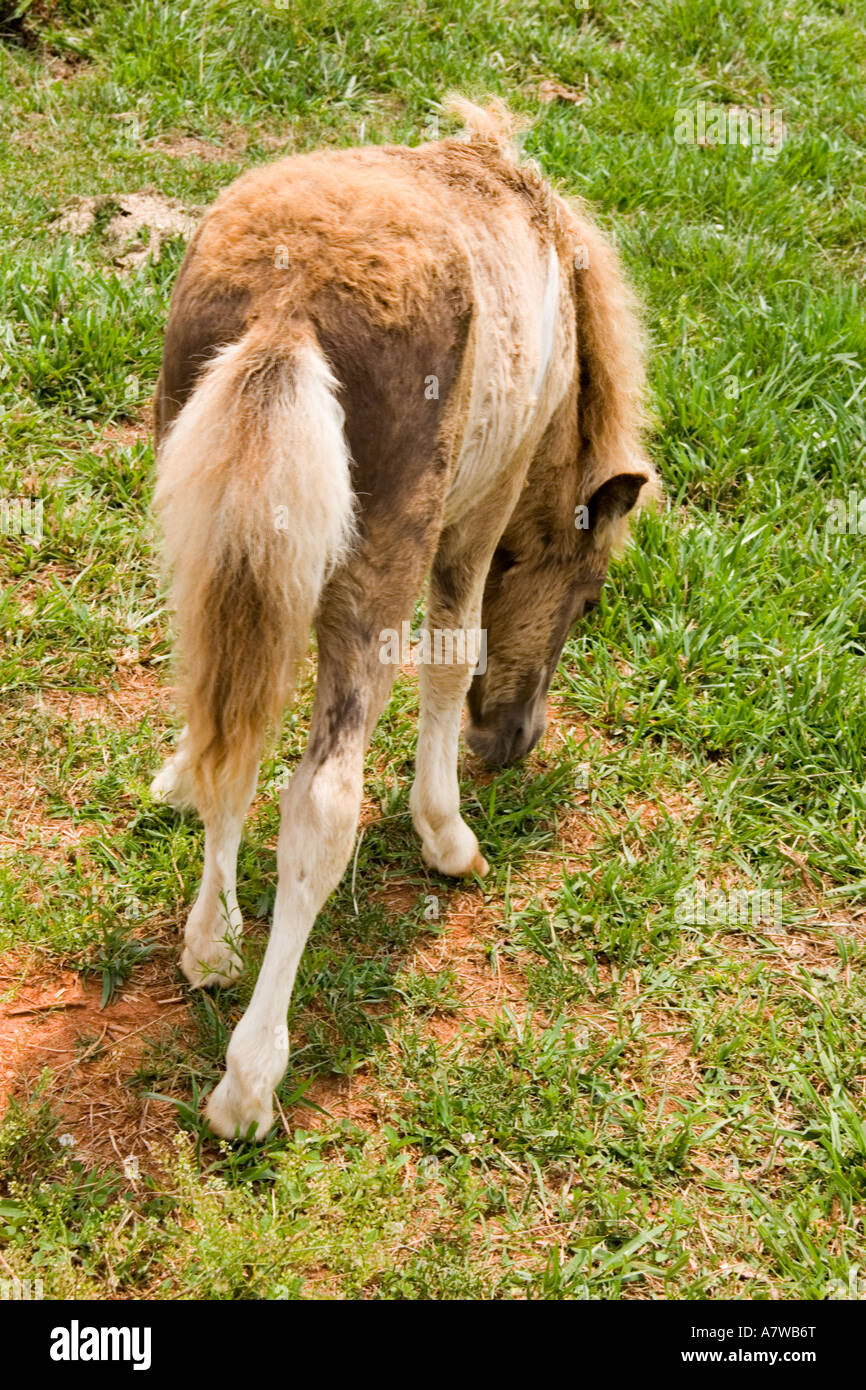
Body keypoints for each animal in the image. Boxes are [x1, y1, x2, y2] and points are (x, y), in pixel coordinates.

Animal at [150, 97, 657, 1138]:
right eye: (590, 595)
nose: (514, 741)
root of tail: (287, 301)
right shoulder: (480, 514)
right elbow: (452, 659)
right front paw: (448, 835)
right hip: (376, 579)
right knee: (319, 806)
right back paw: (248, 1084)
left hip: (216, 543)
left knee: (237, 737)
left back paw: (211, 945)